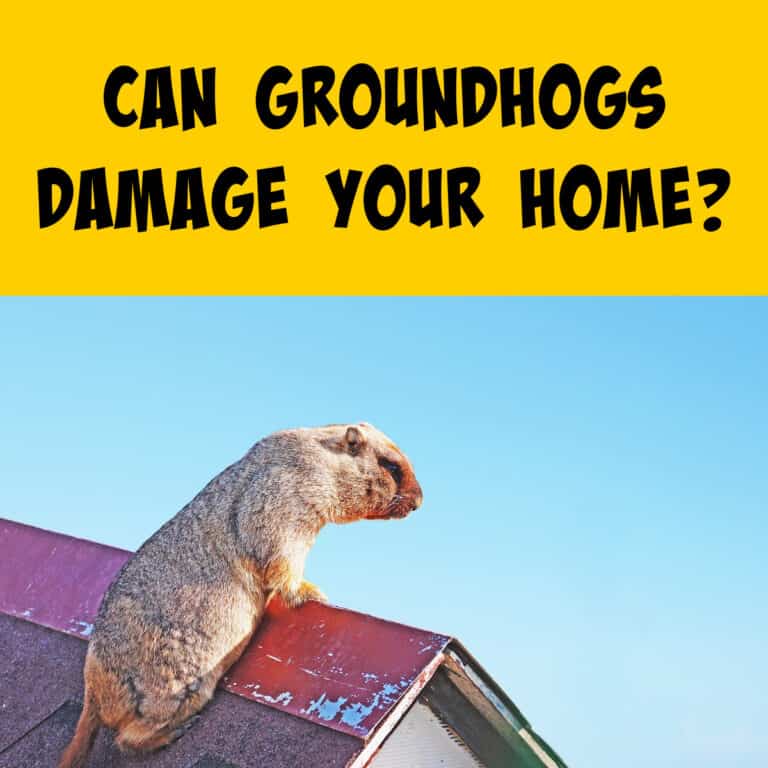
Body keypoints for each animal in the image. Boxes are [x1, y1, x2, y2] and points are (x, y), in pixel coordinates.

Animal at [58, 423, 422, 768]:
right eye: (391, 465)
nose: (419, 502)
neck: (323, 460)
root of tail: (93, 694)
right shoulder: (289, 495)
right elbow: (280, 551)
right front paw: (313, 592)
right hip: (177, 688)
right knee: (127, 738)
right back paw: (174, 731)